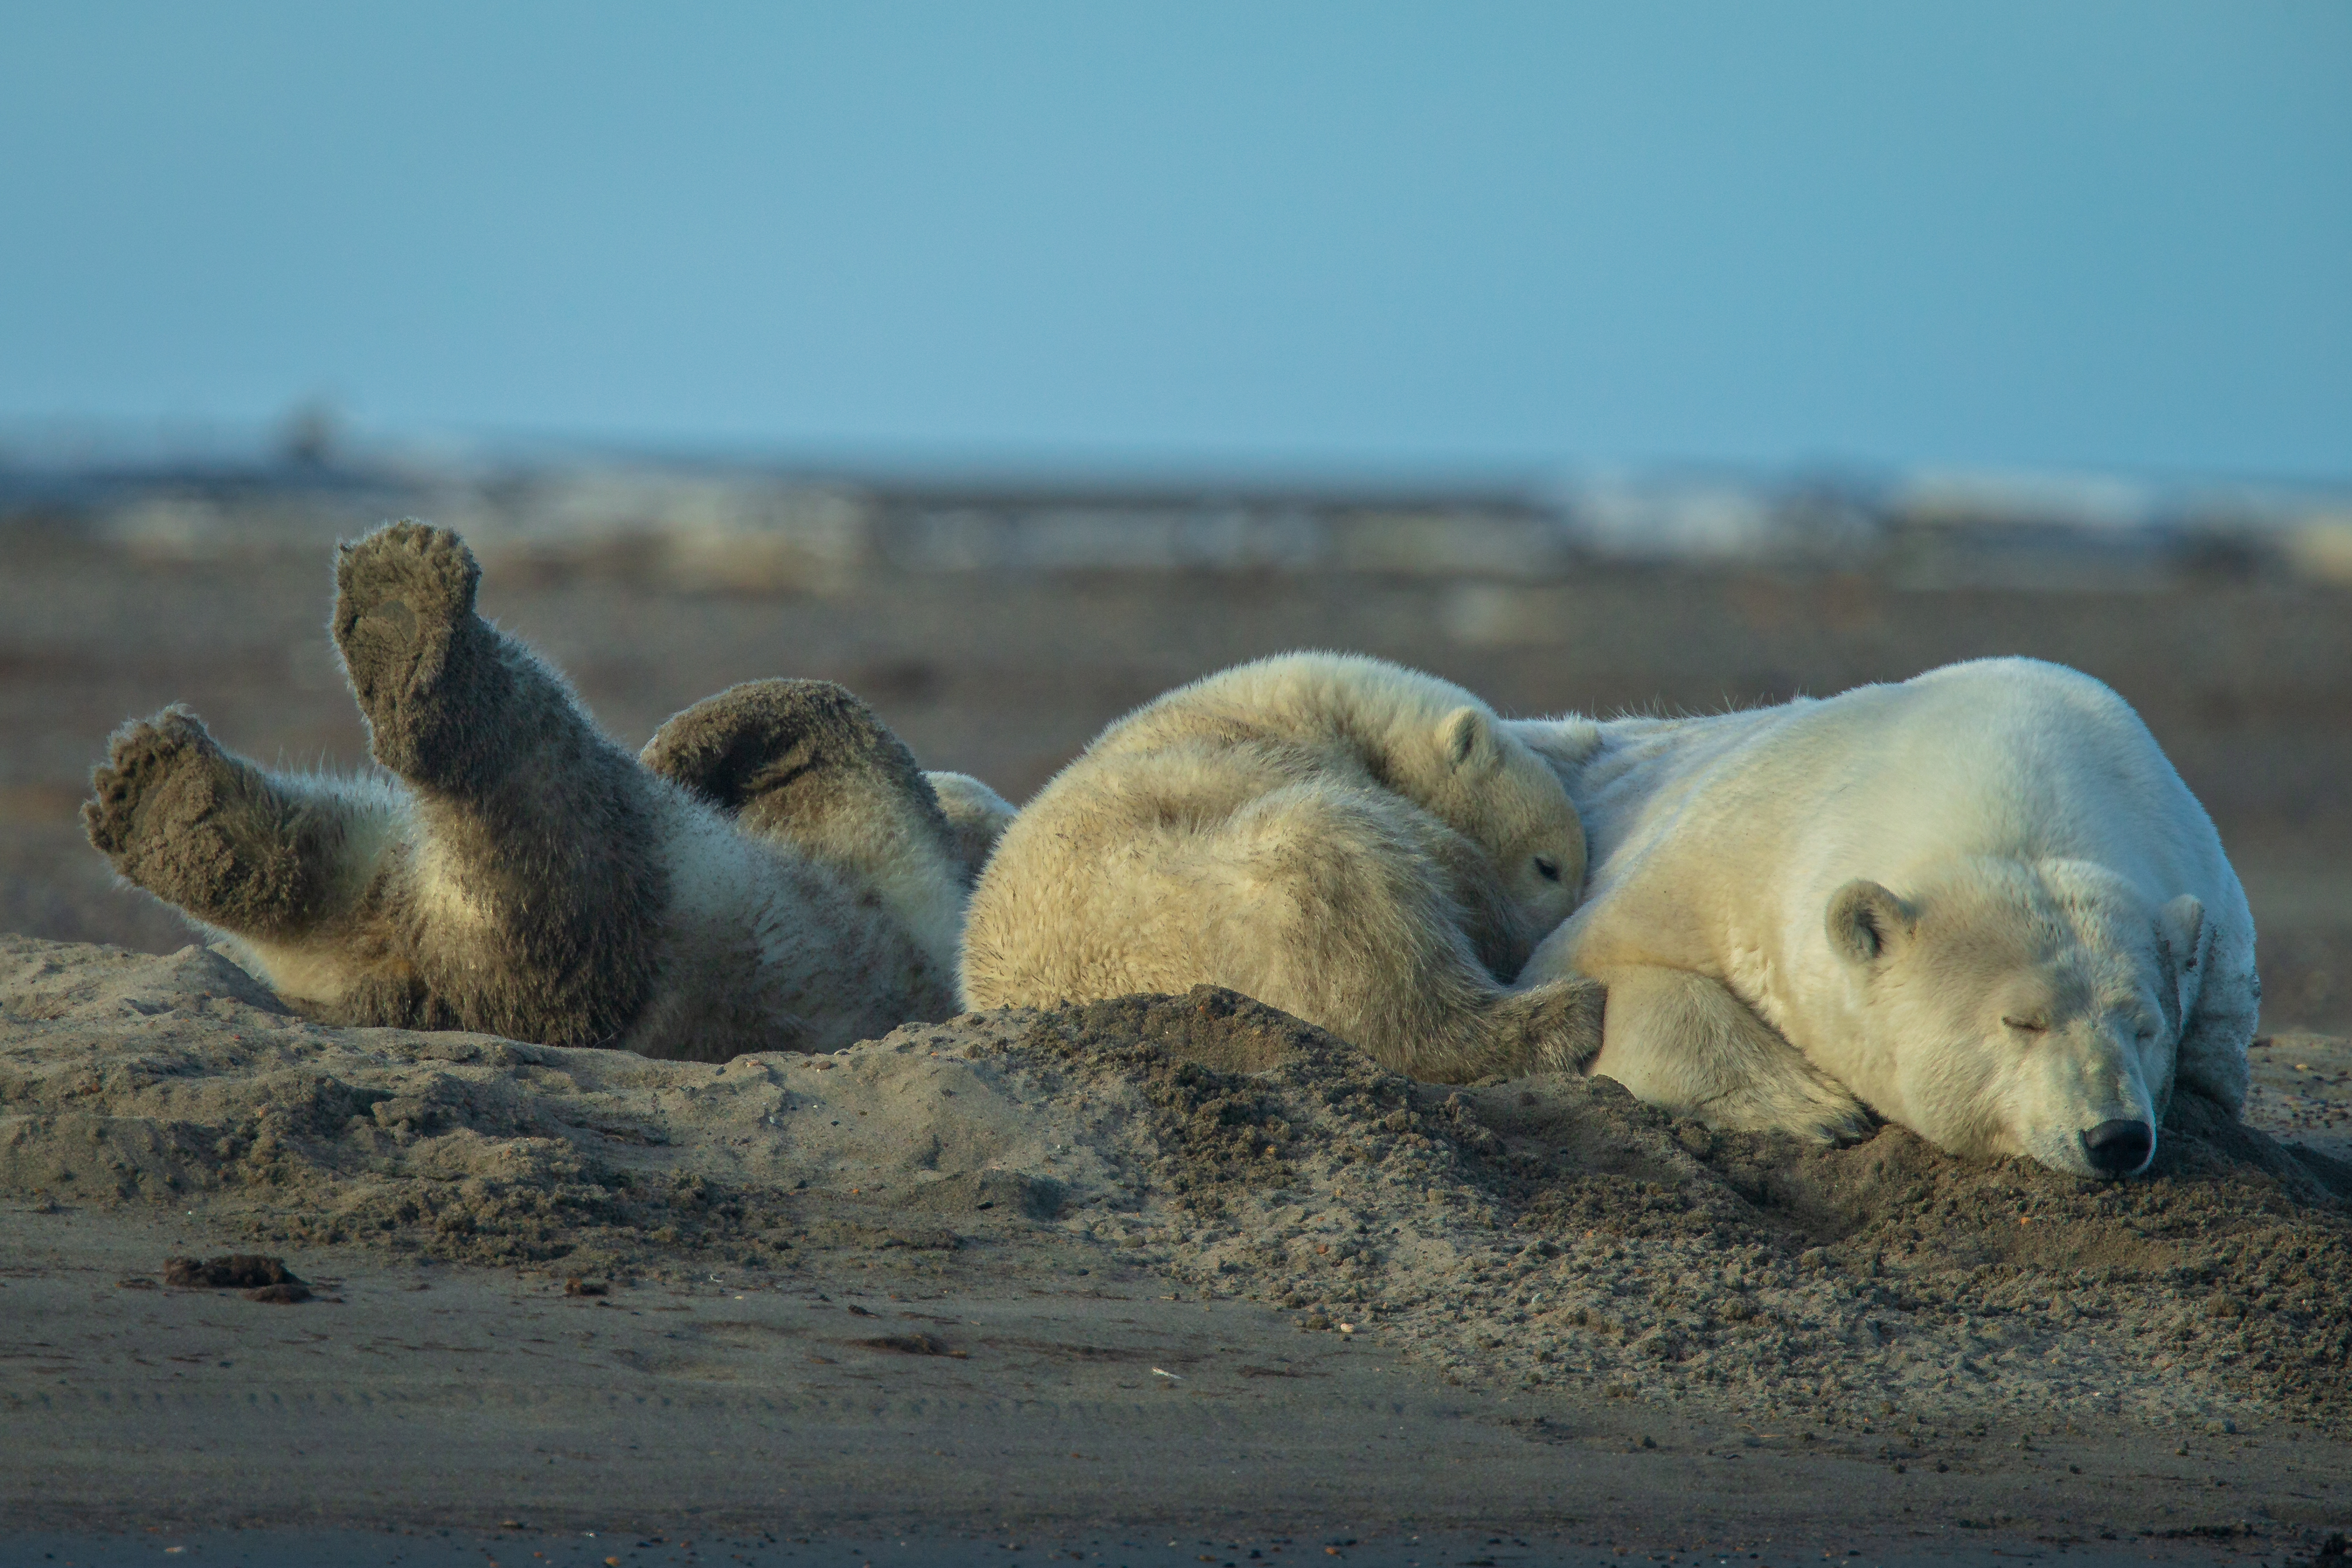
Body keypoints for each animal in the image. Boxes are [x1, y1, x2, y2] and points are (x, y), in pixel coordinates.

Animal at [82, 519, 1006, 1062]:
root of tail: (420, 978)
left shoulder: (900, 895)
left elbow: (841, 730)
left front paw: (697, 744)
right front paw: (694, 749)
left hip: (632, 914)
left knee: (541, 823)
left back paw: (407, 620)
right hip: (420, 884)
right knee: (358, 842)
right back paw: (168, 797)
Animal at [959, 651, 1604, 1080]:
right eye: (1548, 866)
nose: (1550, 931)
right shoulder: (1246, 760)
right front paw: (1492, 913)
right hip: (1214, 915)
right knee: (1353, 904)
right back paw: (1562, 1014)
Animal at [1505, 657, 2257, 1178]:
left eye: (2145, 1026)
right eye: (2022, 1021)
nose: (2115, 1137)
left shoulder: (2216, 925)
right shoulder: (1728, 852)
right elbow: (1592, 964)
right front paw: (1812, 1107)